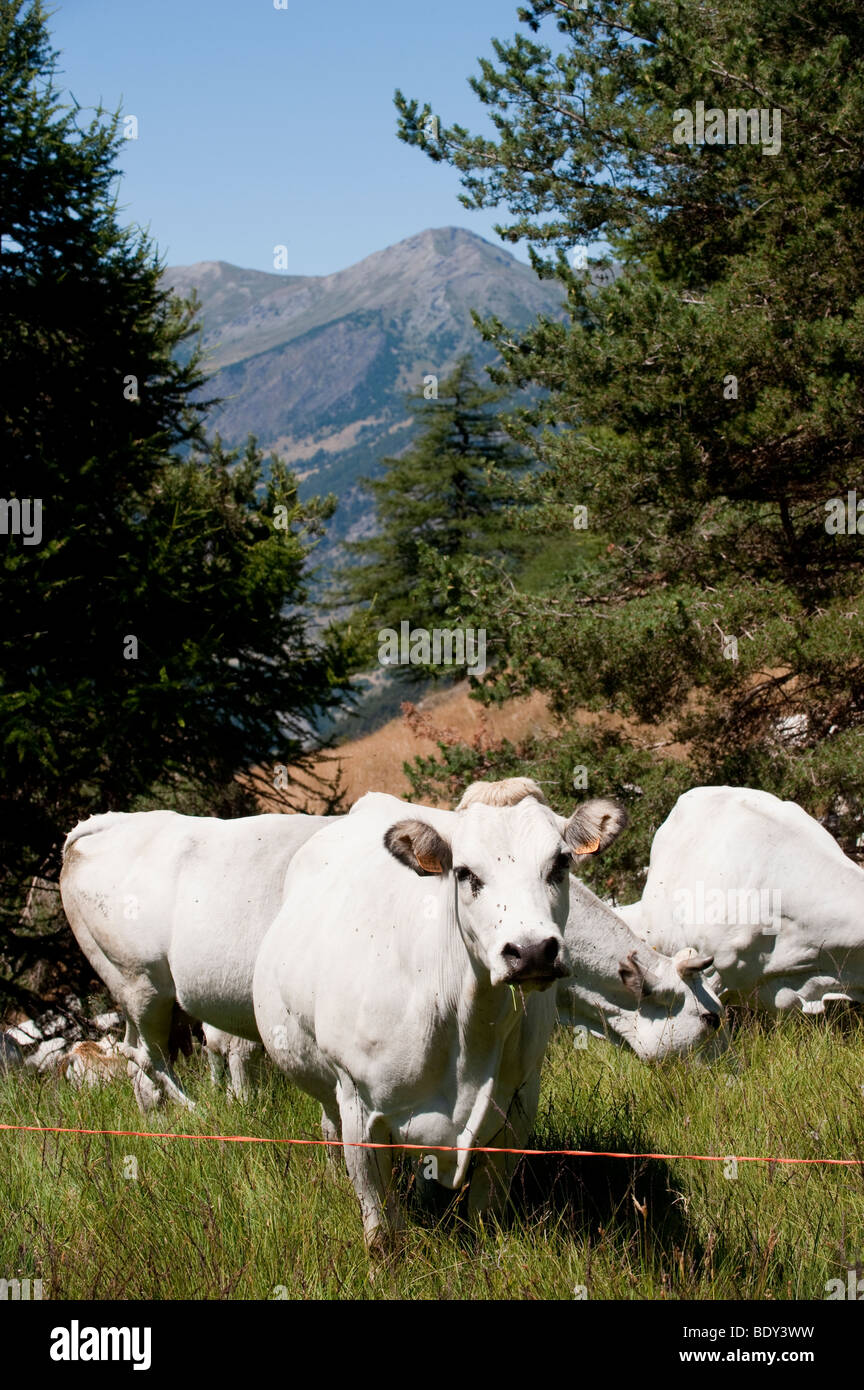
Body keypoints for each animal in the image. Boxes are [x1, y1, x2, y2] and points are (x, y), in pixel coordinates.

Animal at [252, 788, 632, 1248]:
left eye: (561, 863)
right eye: (464, 873)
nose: (531, 951)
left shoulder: (518, 1108)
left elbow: (487, 1213)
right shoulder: (359, 1109)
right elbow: (381, 1229)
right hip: (326, 1084)